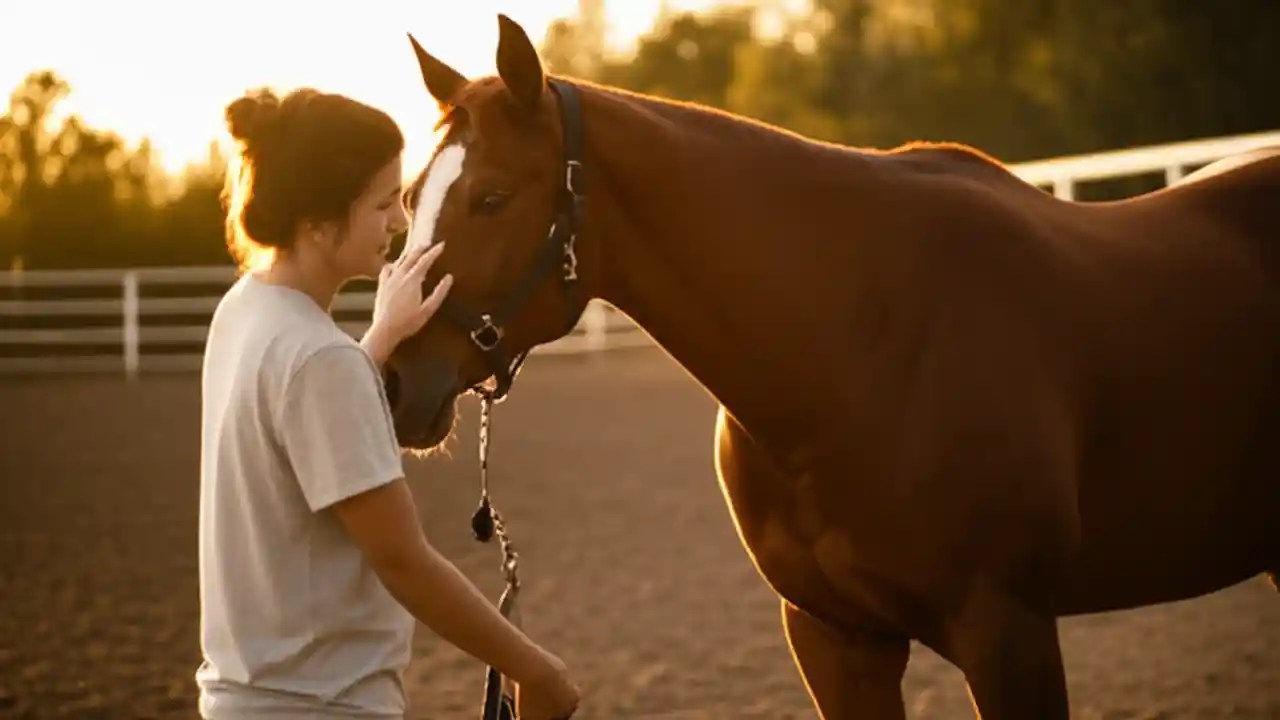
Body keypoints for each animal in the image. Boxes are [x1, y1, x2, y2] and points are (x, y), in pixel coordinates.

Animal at [383, 14, 1280, 719]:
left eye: (492, 198)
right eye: (408, 201)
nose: (390, 379)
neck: (856, 346)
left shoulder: (1009, 630)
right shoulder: (833, 637)